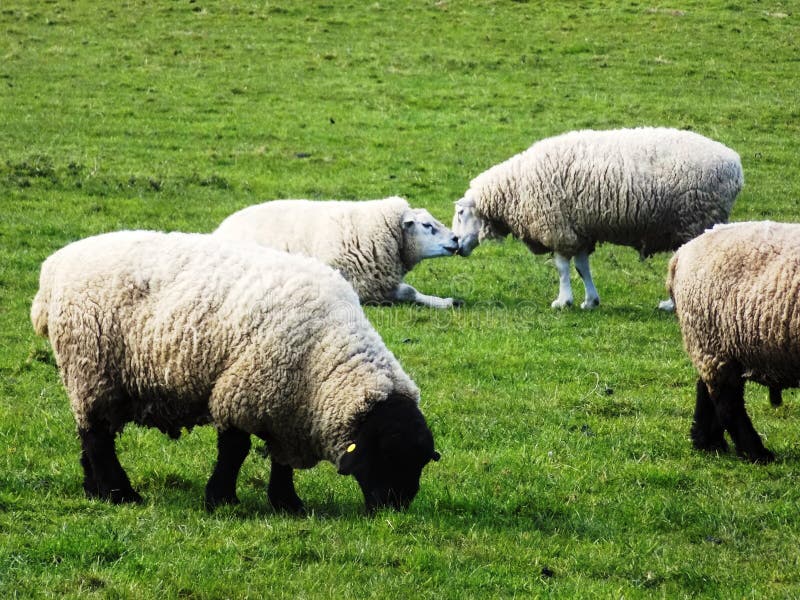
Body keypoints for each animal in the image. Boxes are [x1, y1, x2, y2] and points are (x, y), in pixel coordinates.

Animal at [31, 230, 440, 512]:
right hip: (91, 369)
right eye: (386, 455)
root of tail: (53, 269)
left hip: (91, 380)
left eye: (420, 464)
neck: (325, 356)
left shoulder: (284, 405)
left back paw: (94, 489)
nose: (394, 510)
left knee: (89, 433)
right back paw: (121, 494)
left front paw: (288, 503)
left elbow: (280, 459)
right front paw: (221, 498)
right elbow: (235, 450)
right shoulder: (240, 392)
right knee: (98, 438)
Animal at [214, 196, 461, 308]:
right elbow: (407, 291)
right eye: (427, 226)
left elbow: (411, 291)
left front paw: (444, 301)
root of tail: (220, 229)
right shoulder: (357, 284)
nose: (456, 238)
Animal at [451, 127, 743, 310]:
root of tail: (735, 165)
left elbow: (561, 267)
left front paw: (563, 301)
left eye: (461, 213)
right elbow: (582, 267)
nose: (455, 245)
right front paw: (590, 300)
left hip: (696, 220)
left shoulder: (558, 226)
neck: (514, 188)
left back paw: (672, 305)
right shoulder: (579, 230)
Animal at [667, 221, 800, 463]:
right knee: (727, 402)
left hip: (712, 346)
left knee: (705, 389)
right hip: (712, 340)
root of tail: (682, 252)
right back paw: (756, 452)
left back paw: (708, 443)